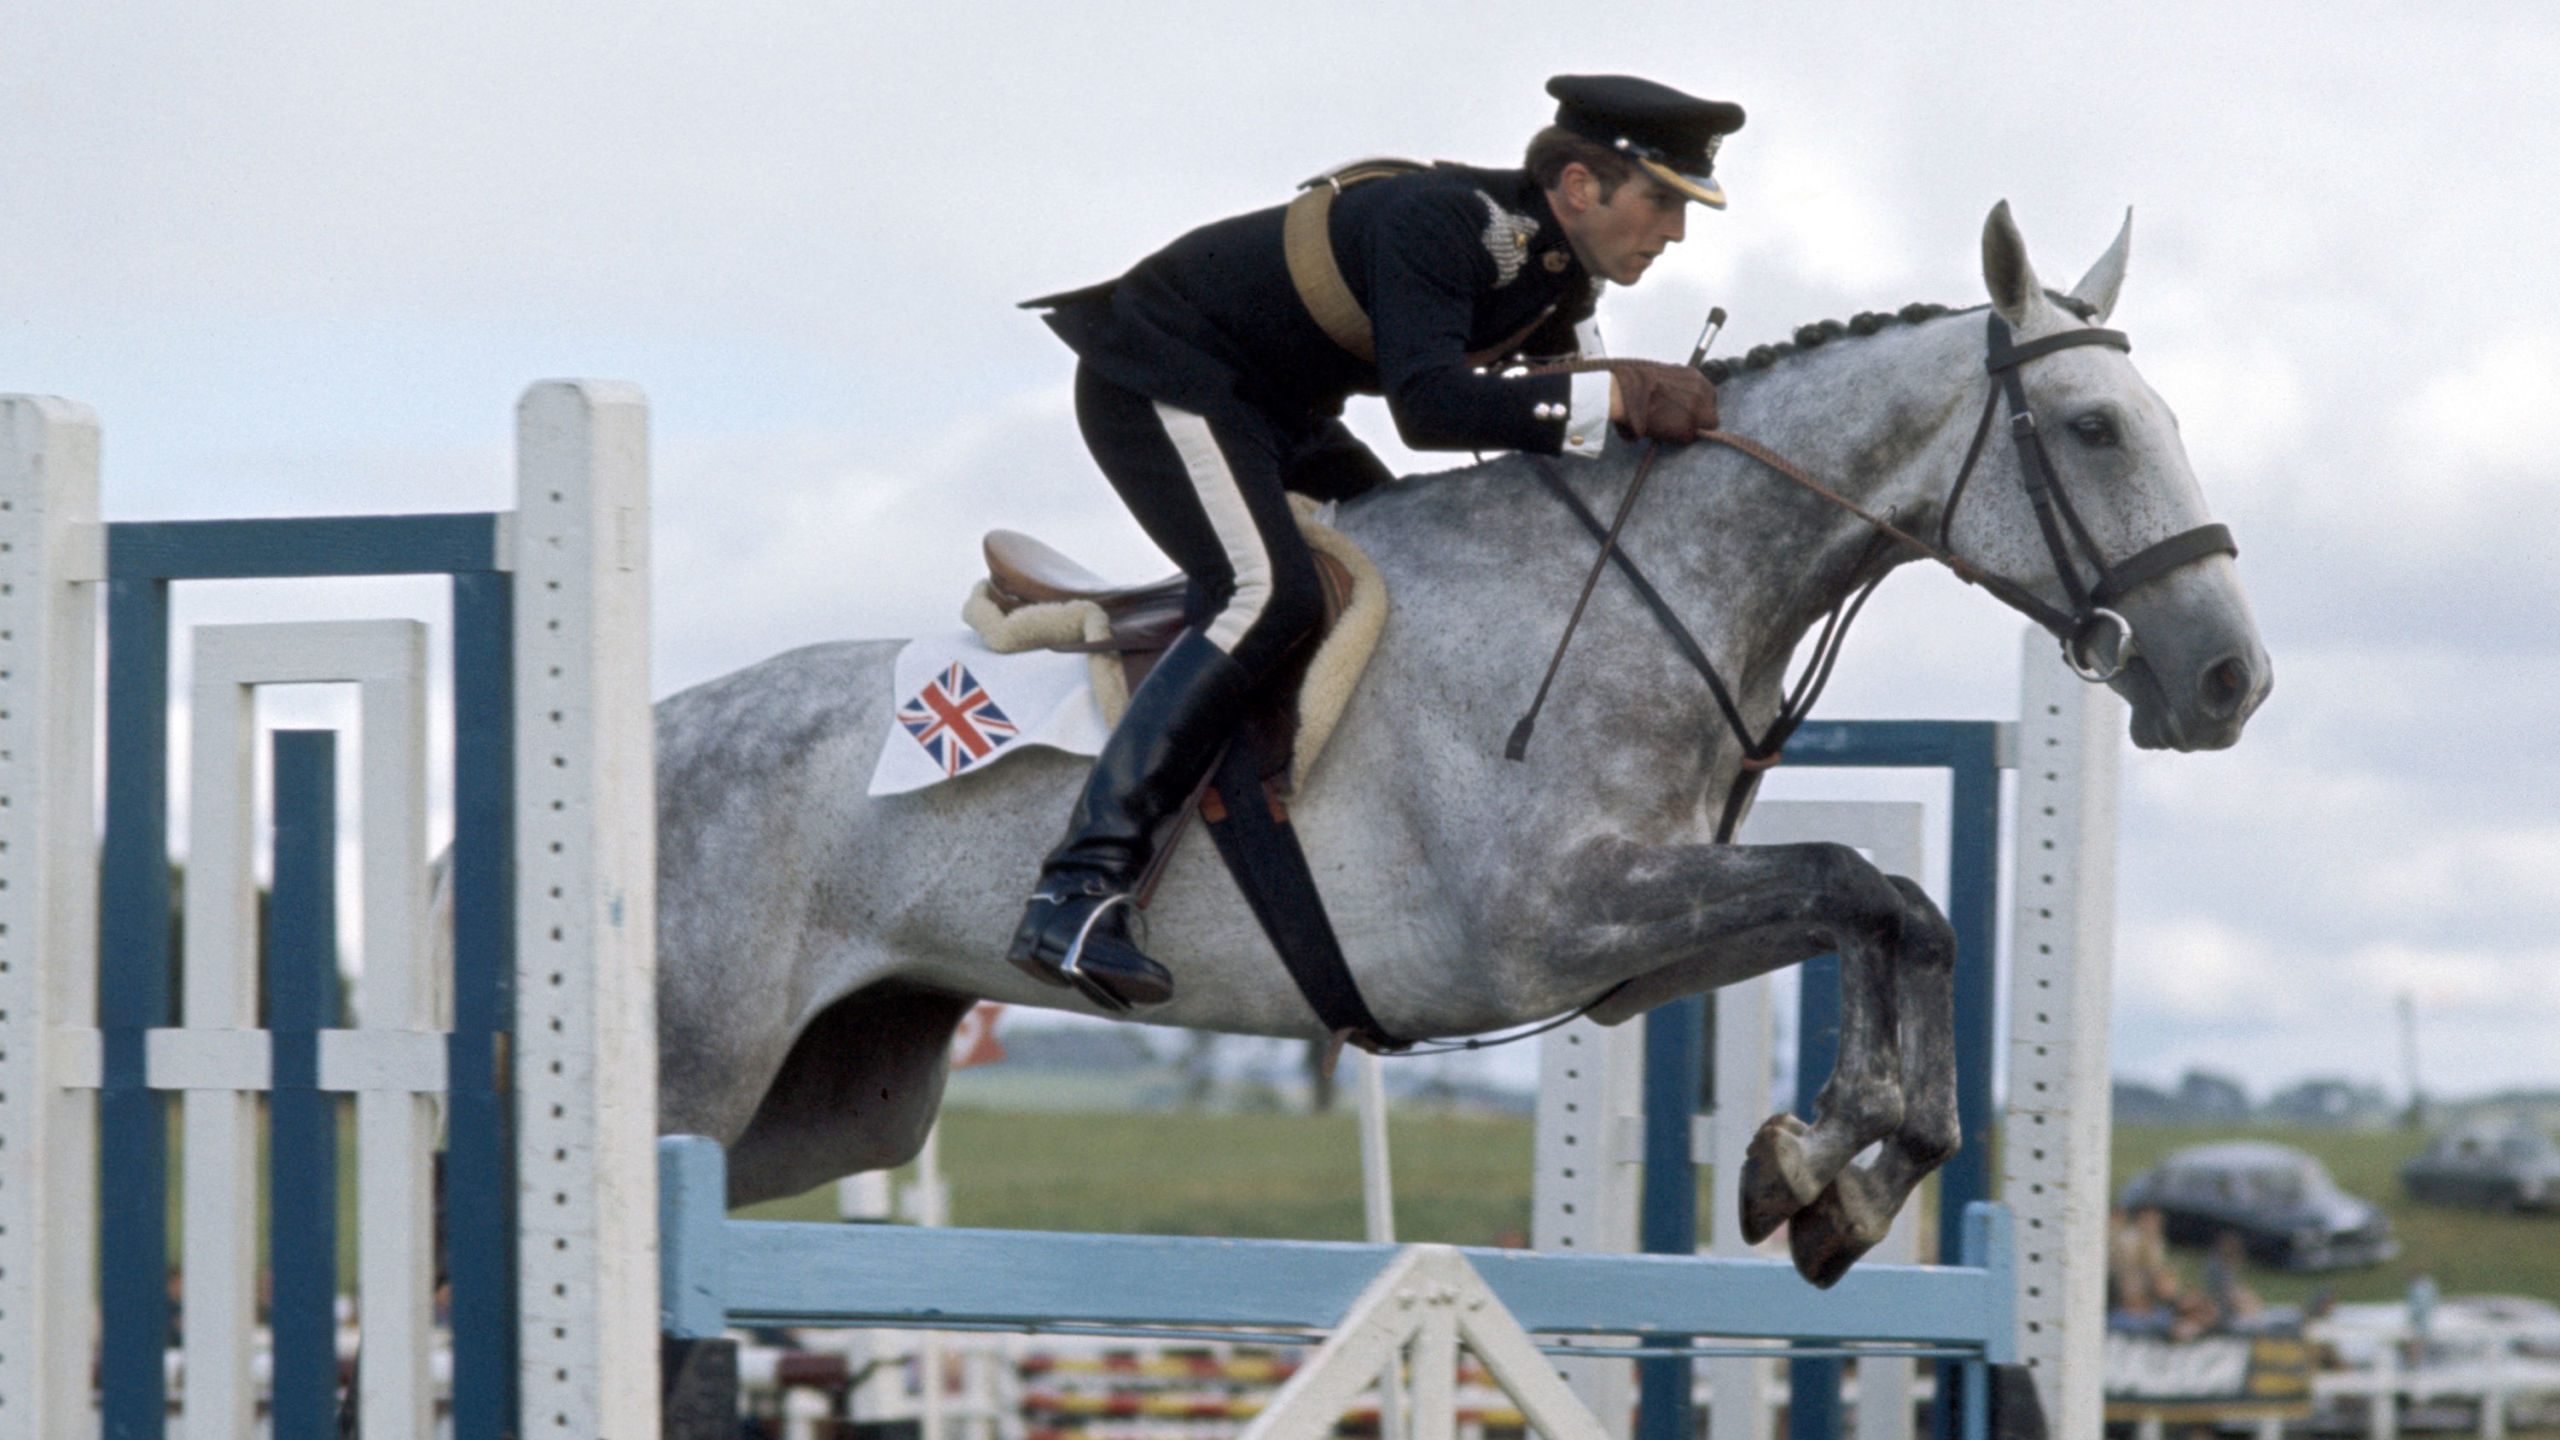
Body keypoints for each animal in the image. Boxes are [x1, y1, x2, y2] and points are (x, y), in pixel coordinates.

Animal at [652, 202, 2270, 1285]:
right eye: (2092, 429)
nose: (2231, 683)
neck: (1638, 586)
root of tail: (656, 732)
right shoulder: (1549, 922)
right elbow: (1864, 885)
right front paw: (1821, 1160)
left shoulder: (1632, 953)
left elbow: (1894, 909)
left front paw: (1837, 1184)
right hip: (702, 1071)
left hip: (830, 1104)